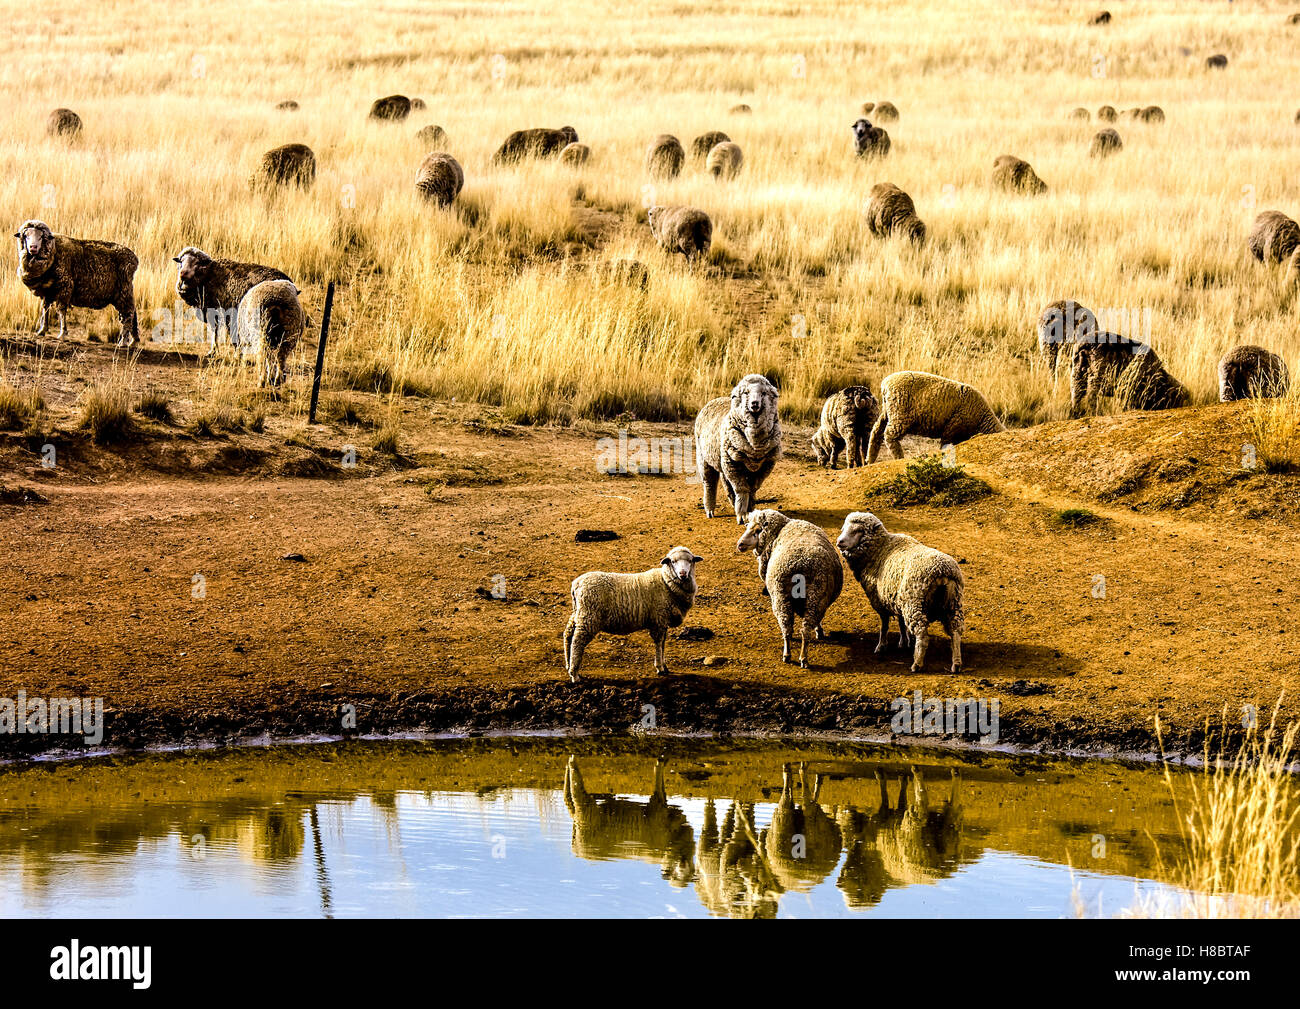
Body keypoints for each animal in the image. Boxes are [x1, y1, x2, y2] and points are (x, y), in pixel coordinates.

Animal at [563, 545, 702, 681]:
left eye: (691, 560)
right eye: (673, 561)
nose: (683, 574)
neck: (665, 582)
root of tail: (576, 584)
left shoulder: (664, 621)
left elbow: (663, 643)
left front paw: (664, 666)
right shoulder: (659, 619)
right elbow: (659, 643)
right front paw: (659, 668)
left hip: (578, 612)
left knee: (568, 634)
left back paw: (569, 665)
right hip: (589, 616)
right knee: (577, 641)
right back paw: (575, 674)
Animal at [694, 373, 782, 523]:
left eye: (764, 393)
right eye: (746, 393)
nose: (754, 404)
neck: (755, 444)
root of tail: (715, 399)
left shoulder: (765, 465)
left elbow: (752, 489)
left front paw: (749, 510)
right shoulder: (733, 464)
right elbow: (742, 489)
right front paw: (741, 514)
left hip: (722, 459)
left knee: (725, 481)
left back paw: (732, 501)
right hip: (704, 458)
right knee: (709, 483)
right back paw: (710, 509)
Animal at [737, 509, 843, 667]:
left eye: (757, 530)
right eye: (747, 526)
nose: (740, 544)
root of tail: (800, 562)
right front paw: (819, 631)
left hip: (784, 595)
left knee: (789, 627)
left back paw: (791, 654)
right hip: (813, 596)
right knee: (801, 629)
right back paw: (800, 657)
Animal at [836, 511, 964, 674]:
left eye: (858, 530)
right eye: (843, 528)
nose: (839, 541)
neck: (880, 549)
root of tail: (941, 571)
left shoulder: (880, 600)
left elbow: (884, 625)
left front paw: (881, 645)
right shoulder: (897, 598)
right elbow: (901, 621)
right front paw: (904, 641)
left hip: (914, 603)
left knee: (923, 636)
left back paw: (917, 664)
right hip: (953, 603)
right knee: (955, 633)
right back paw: (956, 664)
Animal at [867, 371, 1004, 463]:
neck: (982, 418)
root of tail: (885, 383)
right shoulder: (952, 427)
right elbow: (945, 444)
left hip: (887, 410)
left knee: (876, 431)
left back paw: (870, 459)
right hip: (899, 413)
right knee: (889, 435)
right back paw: (899, 457)